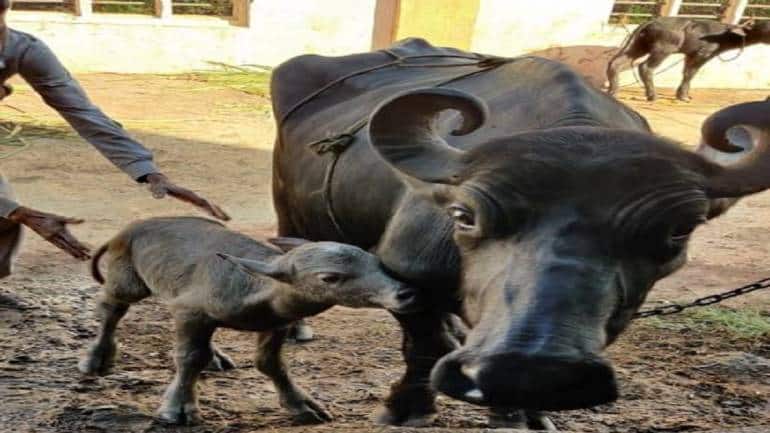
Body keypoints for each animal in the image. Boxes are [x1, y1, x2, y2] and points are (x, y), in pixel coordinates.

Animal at [270, 38, 770, 430]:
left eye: (679, 230)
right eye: (464, 215)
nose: (530, 366)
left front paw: (527, 412)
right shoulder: (405, 274)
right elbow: (424, 348)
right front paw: (406, 408)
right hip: (287, 207)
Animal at [606, 17, 770, 101]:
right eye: (765, 27)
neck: (724, 35)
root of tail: (650, 22)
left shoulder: (689, 54)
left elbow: (686, 73)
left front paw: (682, 94)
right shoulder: (702, 54)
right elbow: (690, 74)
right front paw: (684, 97)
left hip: (640, 45)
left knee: (617, 63)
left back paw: (613, 91)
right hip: (663, 49)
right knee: (645, 67)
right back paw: (652, 96)